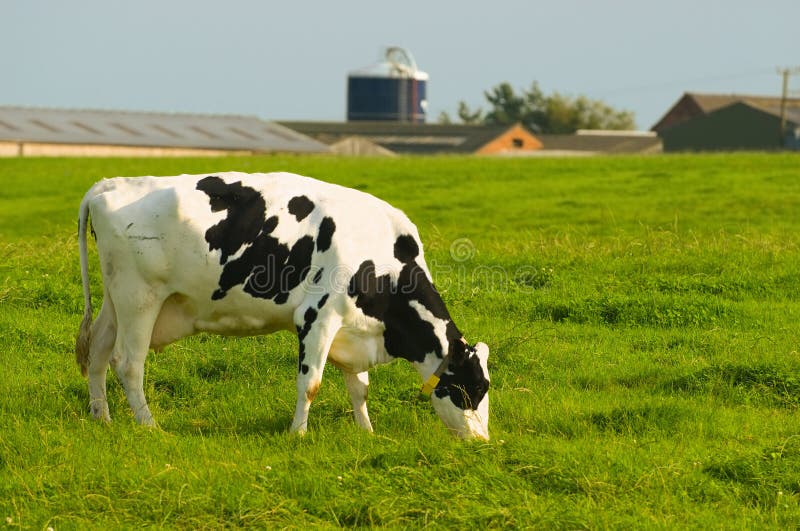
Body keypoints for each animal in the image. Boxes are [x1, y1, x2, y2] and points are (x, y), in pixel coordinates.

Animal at [75, 172, 490, 439]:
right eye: (472, 389)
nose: (481, 441)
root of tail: (107, 184)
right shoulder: (317, 316)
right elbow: (311, 383)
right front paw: (298, 434)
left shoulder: (353, 326)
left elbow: (359, 388)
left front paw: (367, 432)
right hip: (139, 298)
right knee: (128, 363)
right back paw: (150, 426)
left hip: (116, 299)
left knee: (98, 351)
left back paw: (102, 418)